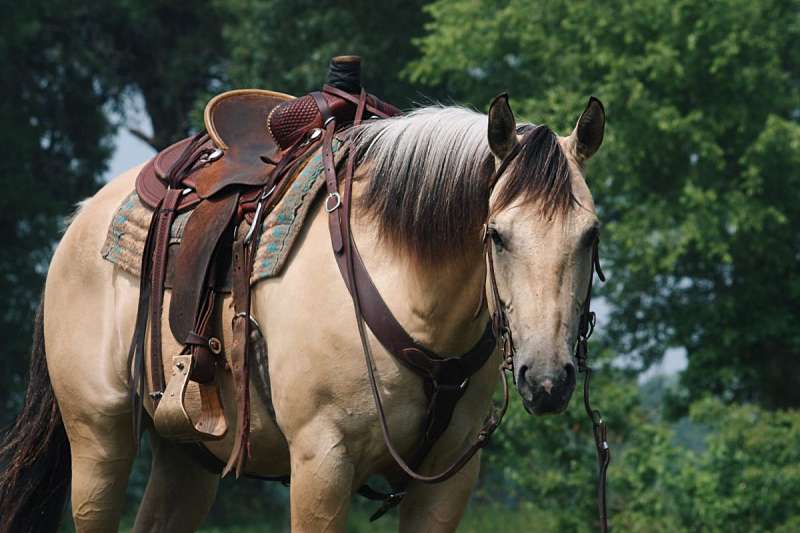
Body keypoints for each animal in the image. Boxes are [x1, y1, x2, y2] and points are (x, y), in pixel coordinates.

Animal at [0, 93, 605, 532]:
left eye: (591, 235)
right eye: (497, 235)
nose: (547, 380)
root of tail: (79, 220)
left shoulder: (446, 479)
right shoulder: (322, 462)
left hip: (186, 456)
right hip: (98, 442)